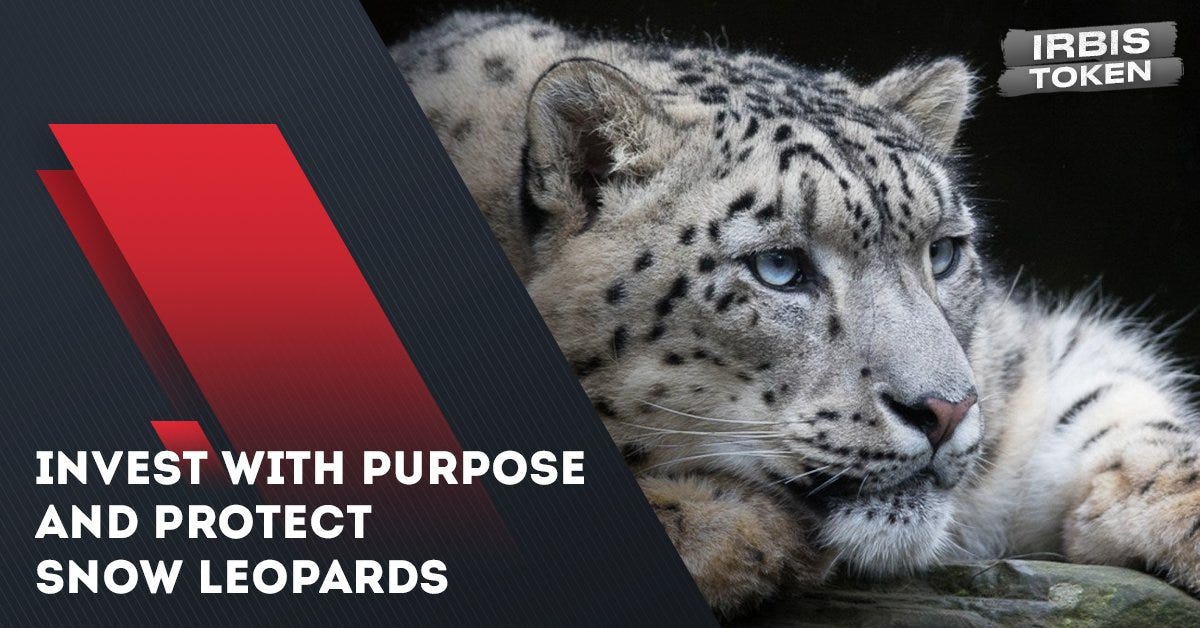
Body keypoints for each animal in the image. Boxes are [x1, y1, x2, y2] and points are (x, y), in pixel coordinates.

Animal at [391, 11, 1200, 618]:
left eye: (943, 252)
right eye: (779, 267)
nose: (946, 410)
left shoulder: (1024, 361)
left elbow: (1113, 404)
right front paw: (725, 525)